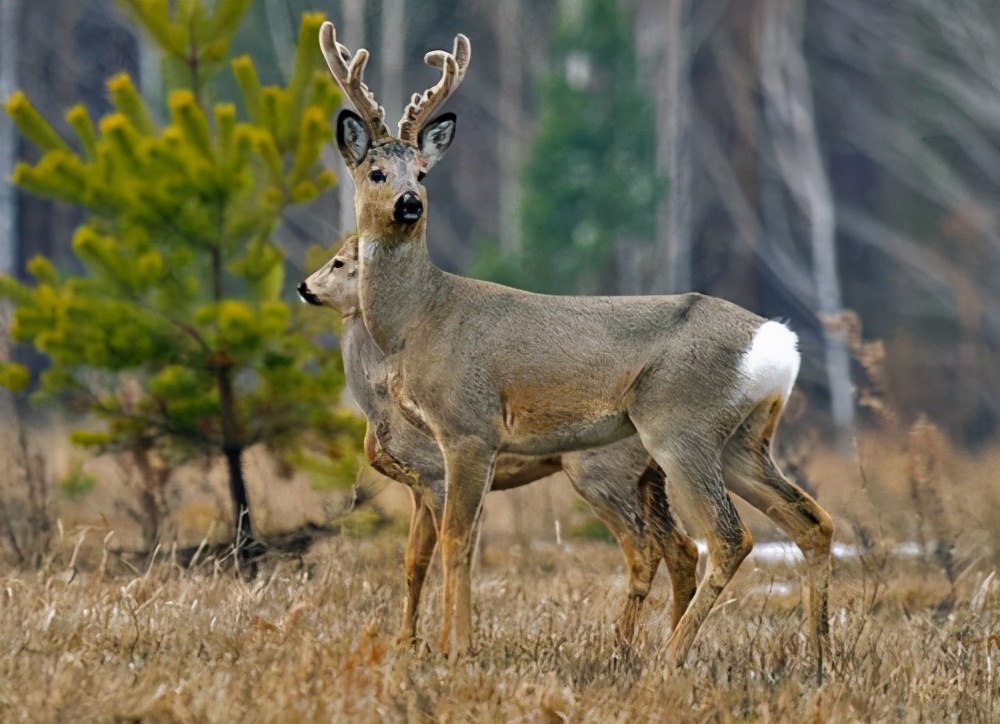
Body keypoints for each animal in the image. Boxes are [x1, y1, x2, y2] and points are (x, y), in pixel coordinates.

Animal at [301, 234, 699, 651]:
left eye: (339, 262)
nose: (303, 287)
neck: (380, 403)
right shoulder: (418, 487)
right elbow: (413, 562)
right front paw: (406, 641)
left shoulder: (435, 474)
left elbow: (446, 554)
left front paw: (442, 643)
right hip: (649, 479)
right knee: (684, 550)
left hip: (601, 471)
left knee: (647, 550)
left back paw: (623, 647)